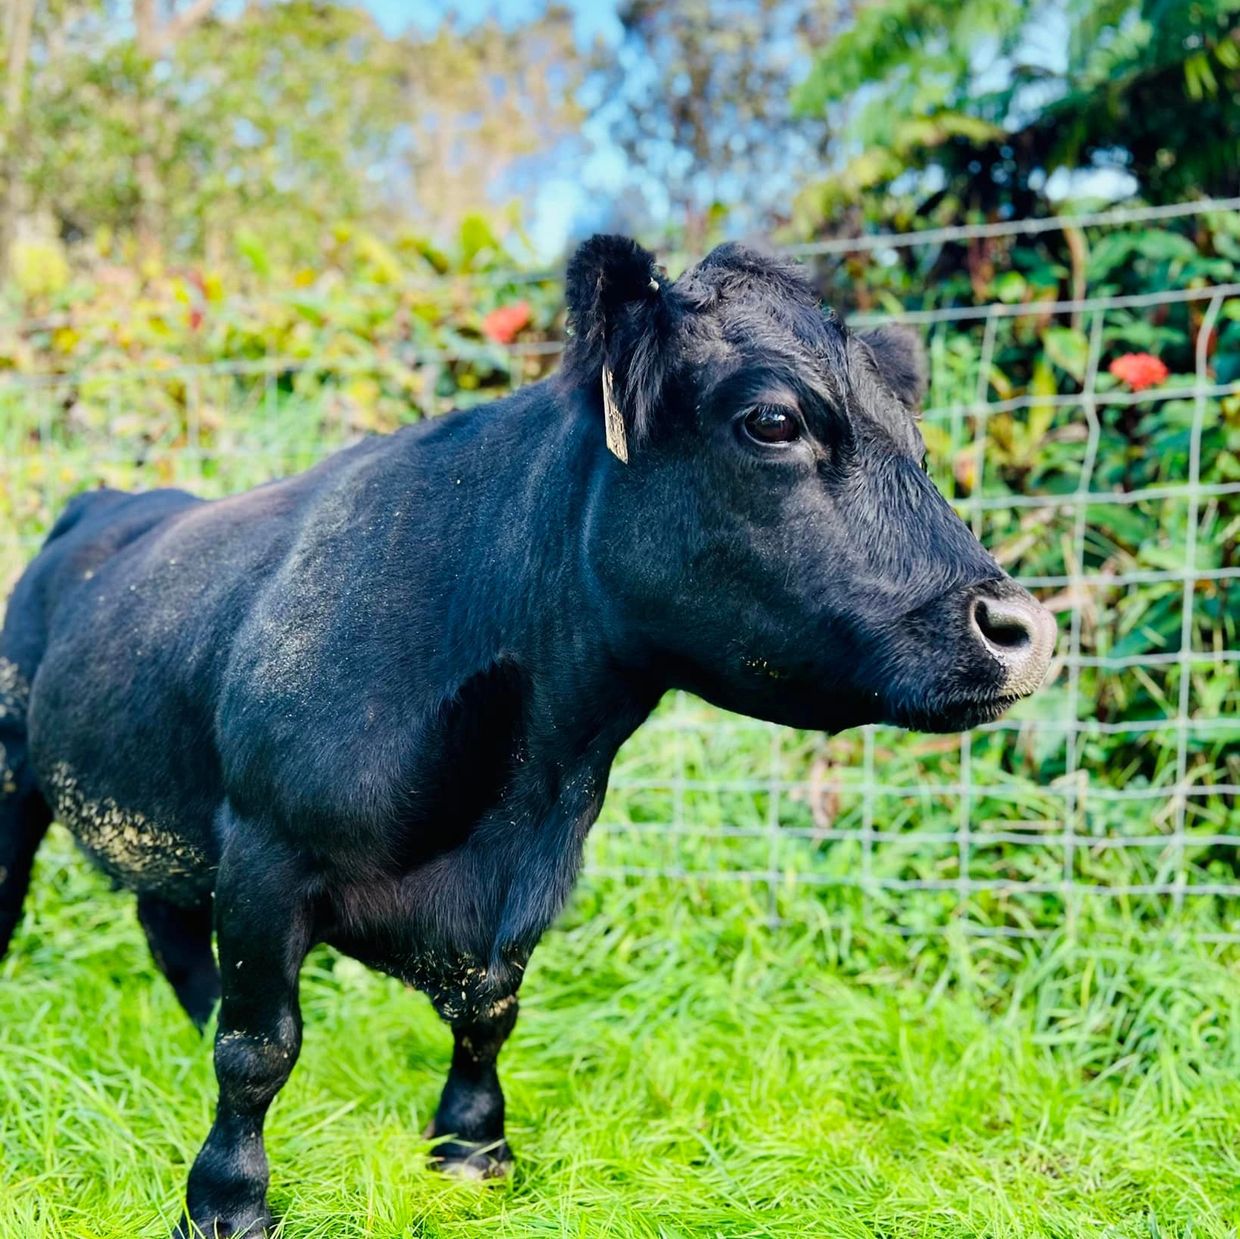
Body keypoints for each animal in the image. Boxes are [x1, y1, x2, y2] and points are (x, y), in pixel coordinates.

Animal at [0, 236, 1055, 1237]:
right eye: (773, 421)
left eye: (917, 443)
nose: (1027, 629)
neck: (519, 791)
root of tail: (109, 499)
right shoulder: (267, 847)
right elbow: (260, 1047)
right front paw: (227, 1201)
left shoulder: (525, 881)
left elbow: (490, 1016)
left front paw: (472, 1151)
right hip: (17, 765)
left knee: (166, 923)